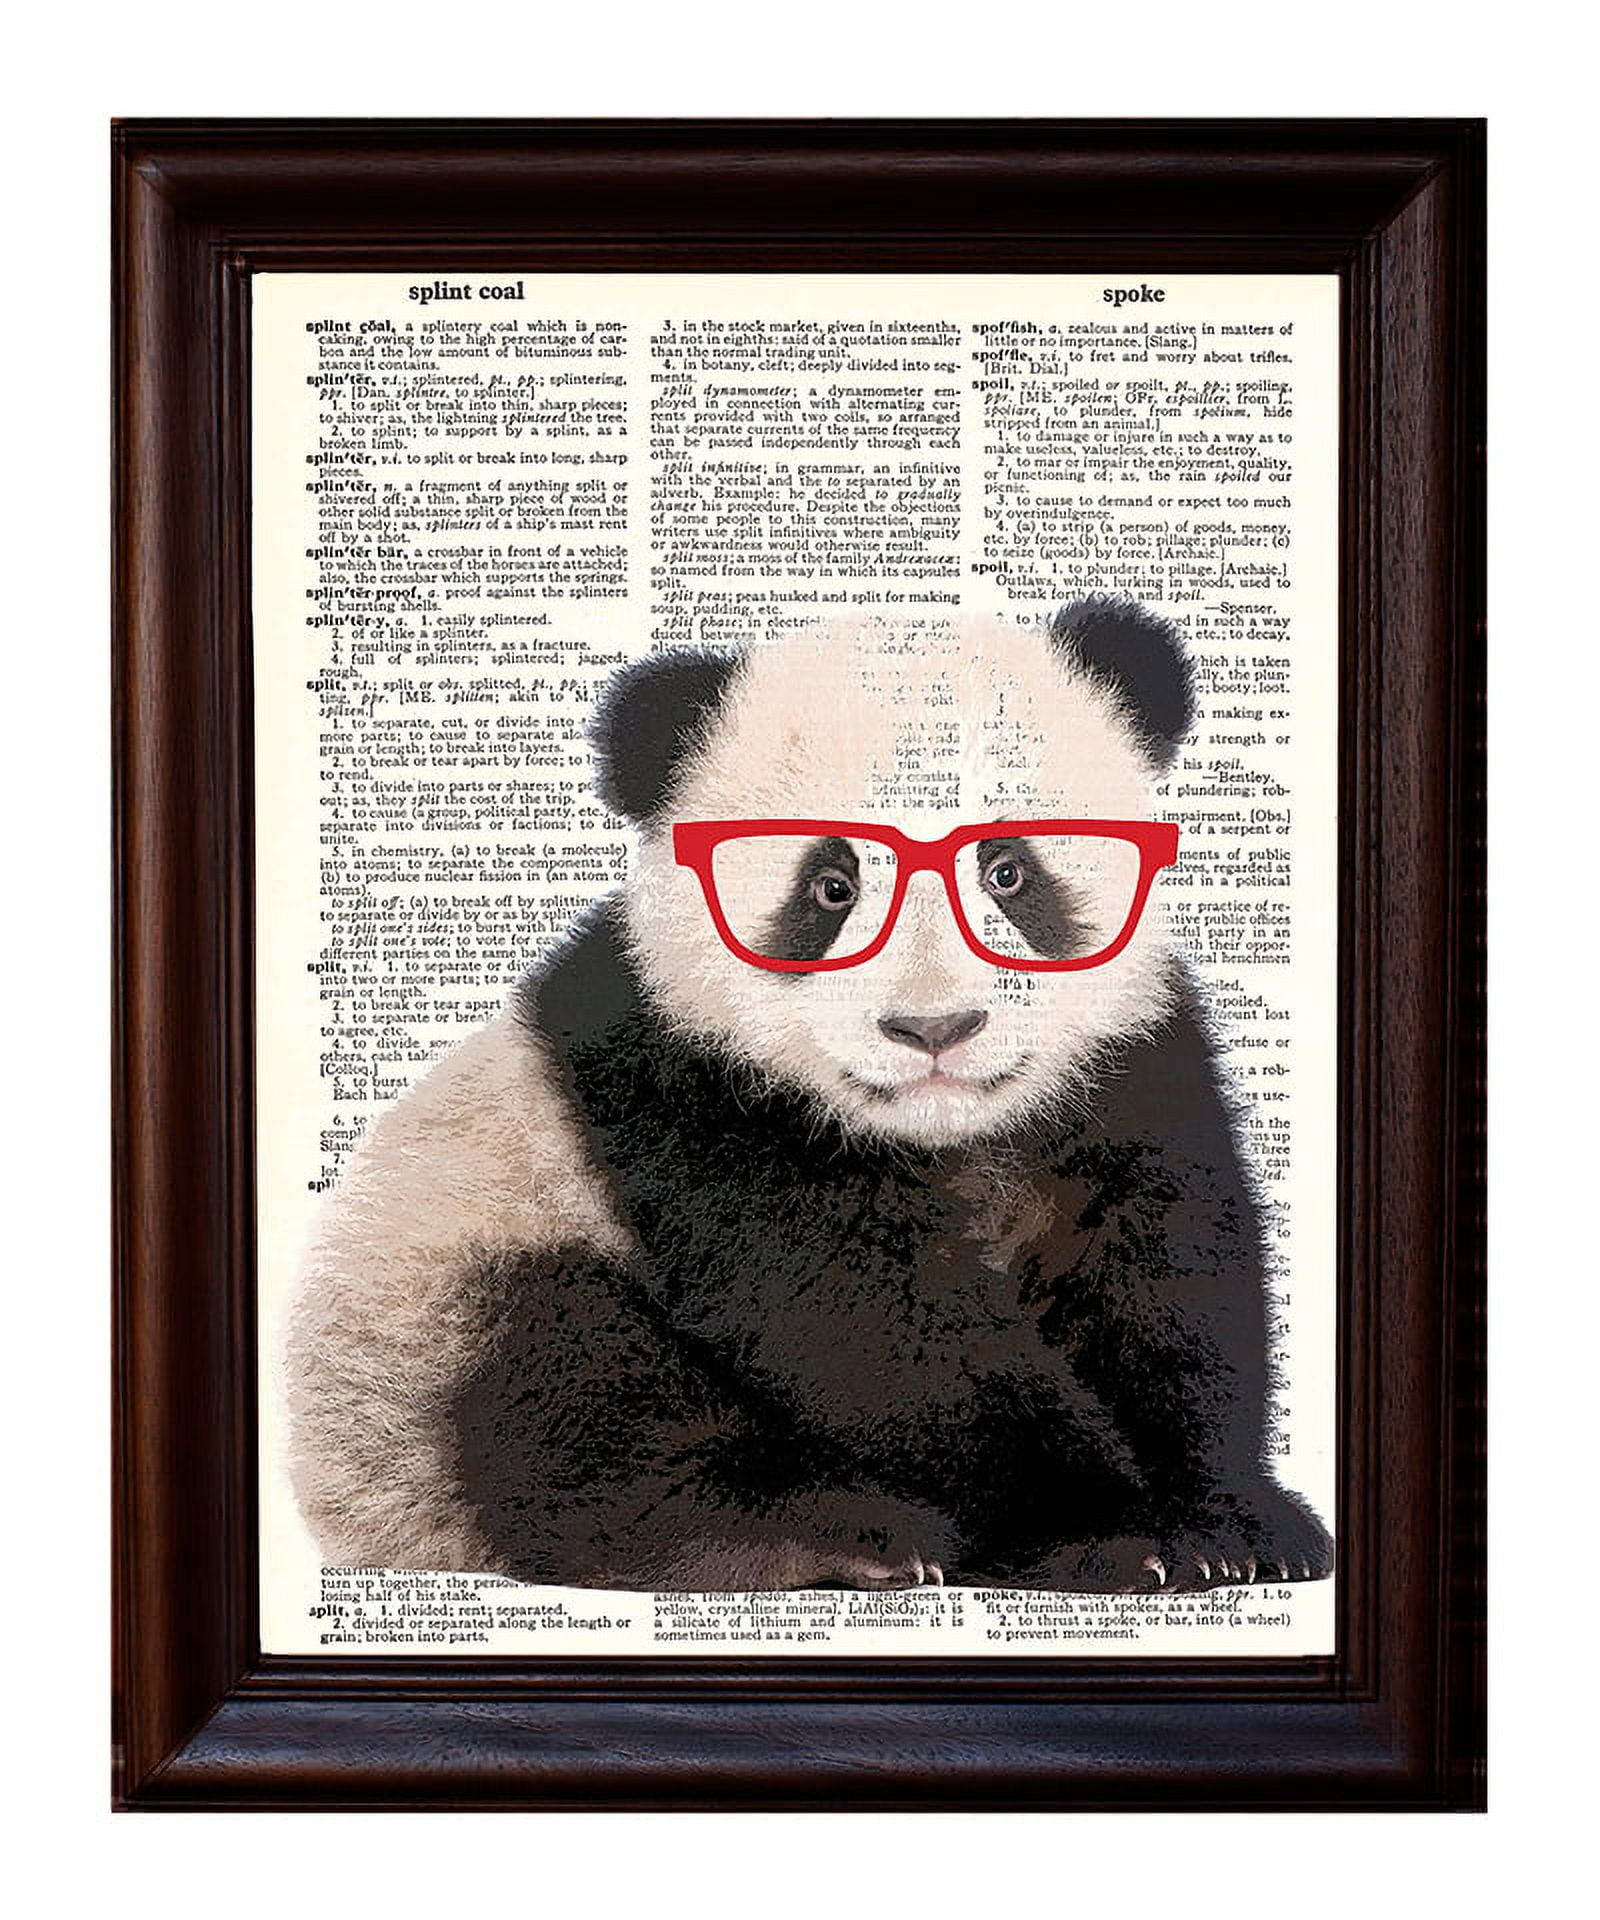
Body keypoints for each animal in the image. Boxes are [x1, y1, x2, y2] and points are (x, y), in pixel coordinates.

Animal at [286, 599, 1334, 1593]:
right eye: (831, 887)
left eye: (1008, 870)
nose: (934, 1030)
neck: (946, 1135)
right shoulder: (698, 1097)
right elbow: (869, 1319)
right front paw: (1110, 1532)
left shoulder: (1123, 1065)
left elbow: (1166, 1271)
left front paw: (1239, 1522)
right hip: (436, 1297)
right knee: (570, 1393)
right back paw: (814, 1536)